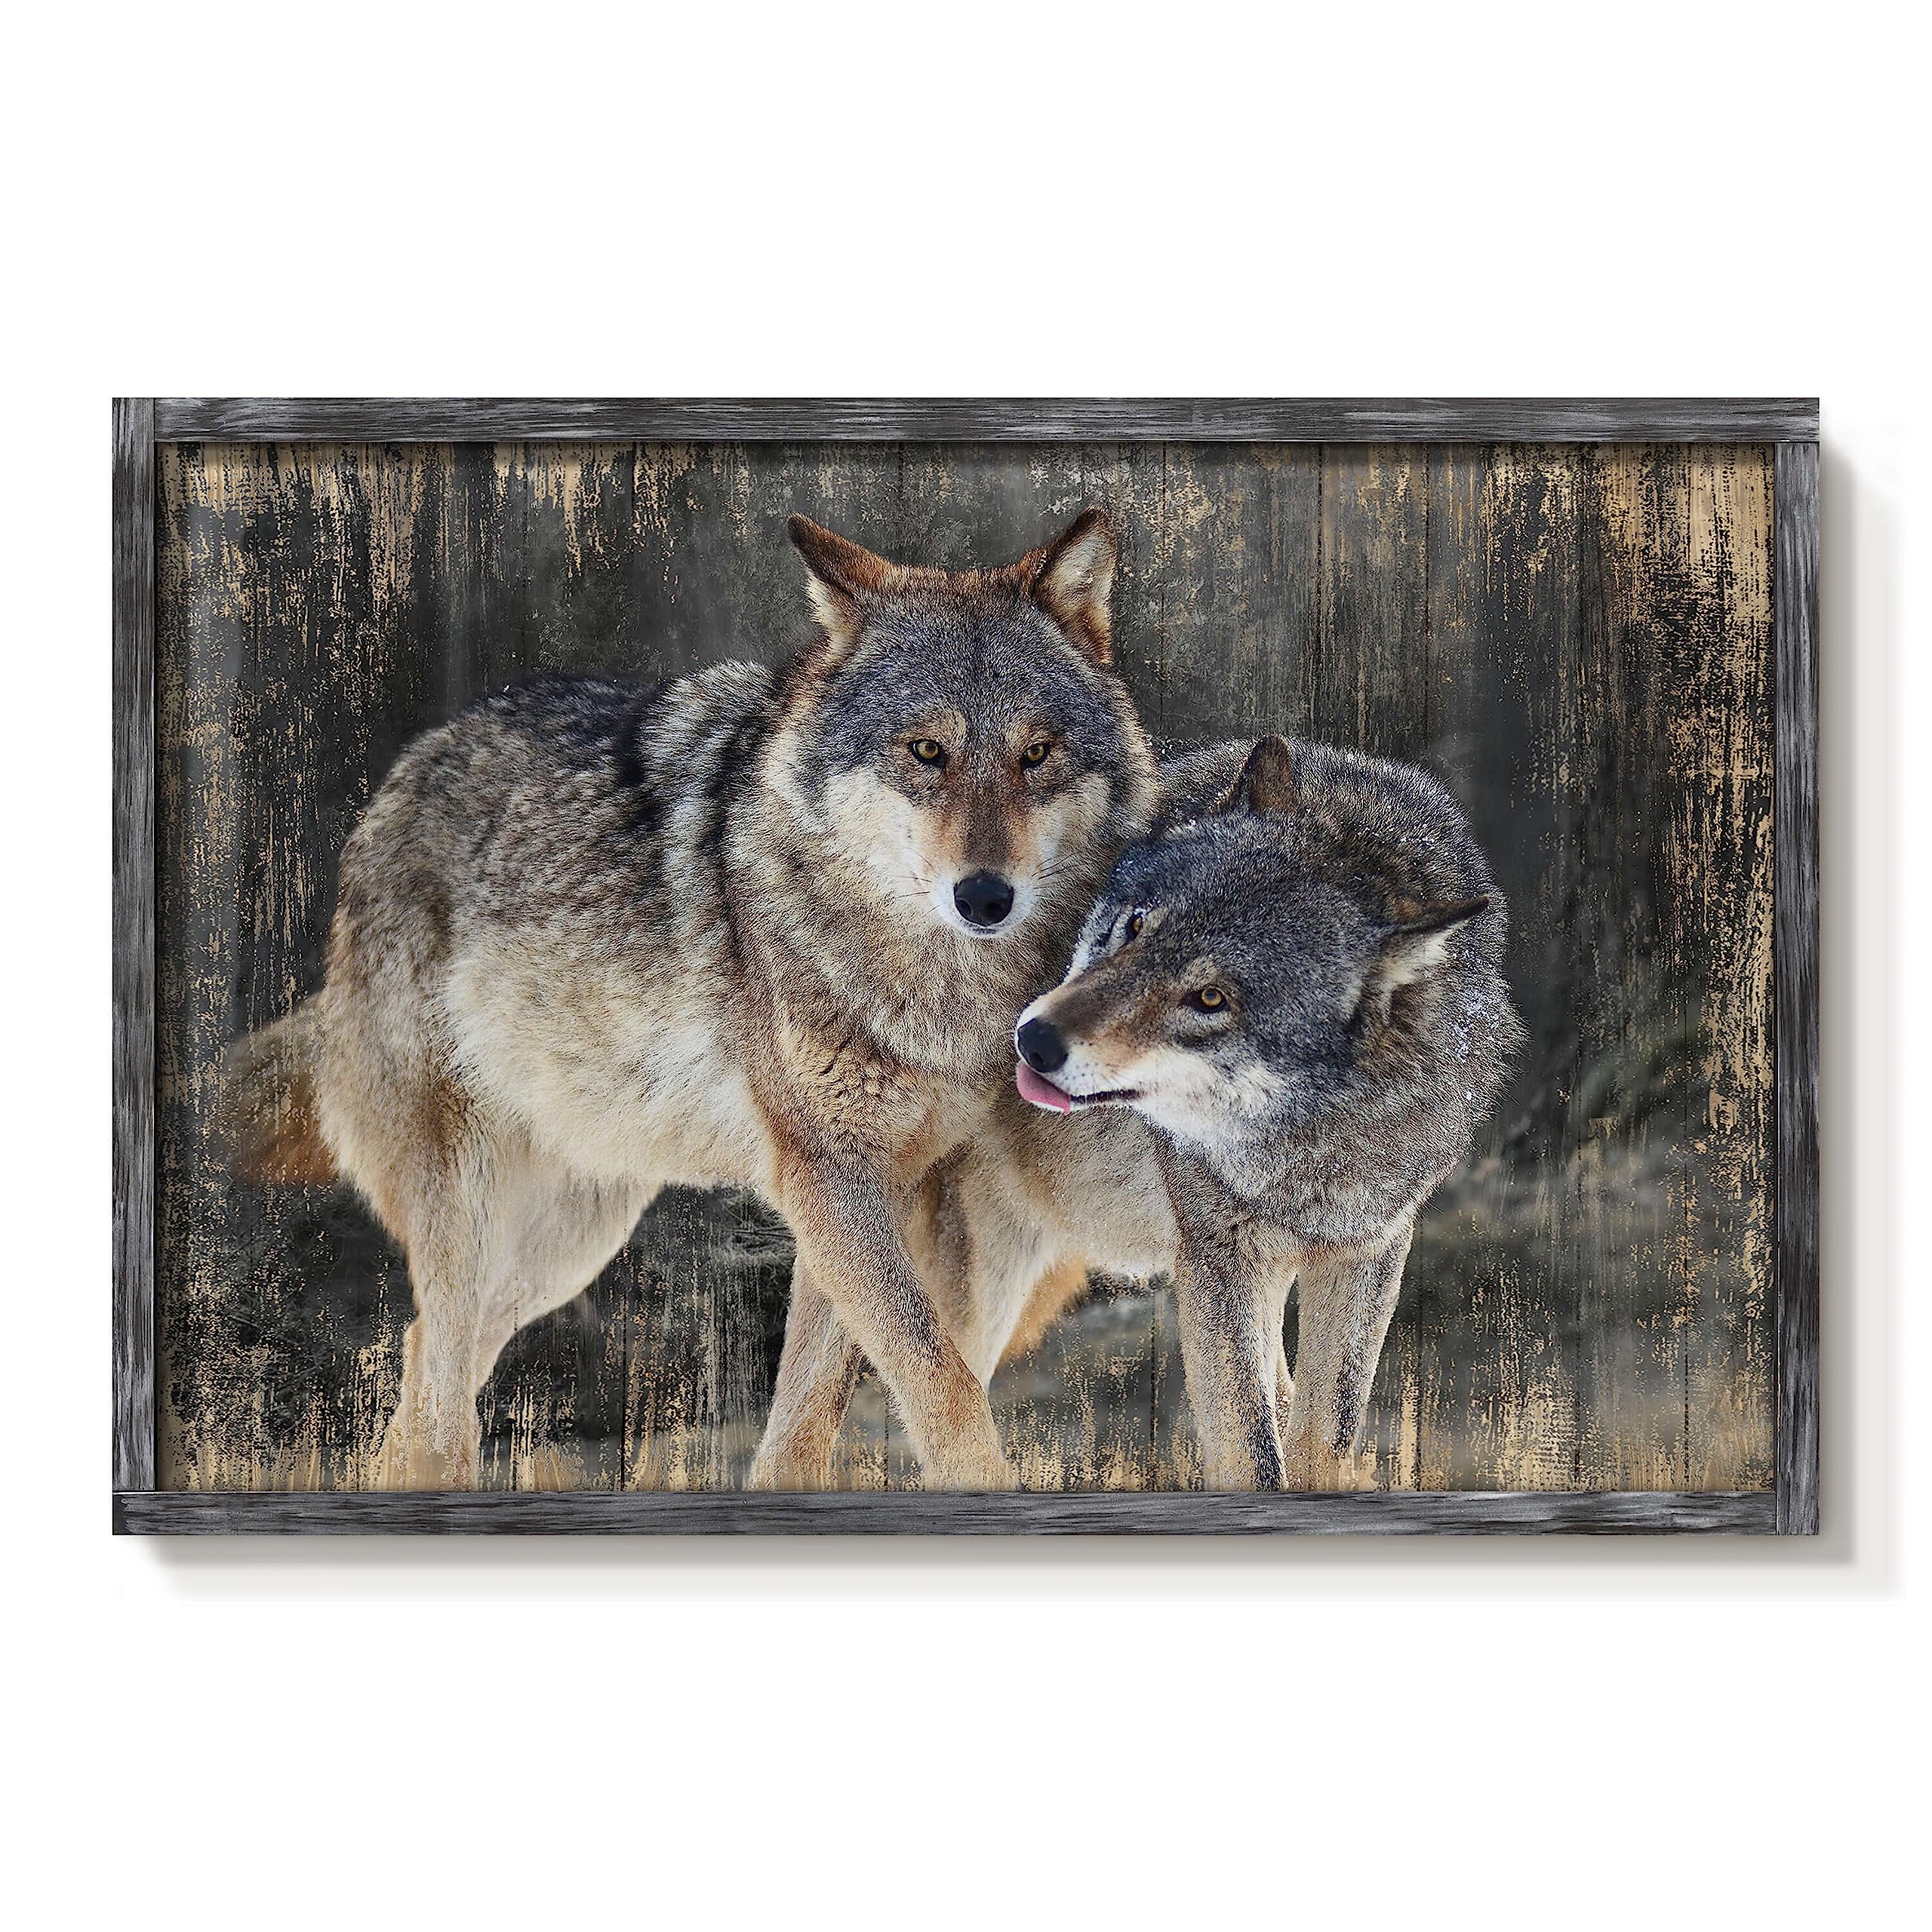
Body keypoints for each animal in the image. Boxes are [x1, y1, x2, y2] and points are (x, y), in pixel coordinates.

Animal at [223, 509, 1159, 1489]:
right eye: (927, 751)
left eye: (1036, 754)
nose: (985, 897)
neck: (929, 986)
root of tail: (400, 778)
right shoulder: (827, 1176)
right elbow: (938, 1380)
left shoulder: (875, 1189)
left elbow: (809, 1418)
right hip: (473, 1212)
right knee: (438, 1384)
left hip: (568, 1242)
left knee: (416, 1362)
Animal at [760, 735, 1522, 1490]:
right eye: (1132, 926)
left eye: (1211, 999)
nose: (1033, 1039)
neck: (1314, 1144)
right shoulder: (1216, 1258)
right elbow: (1252, 1452)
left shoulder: (1369, 1249)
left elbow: (1323, 1440)